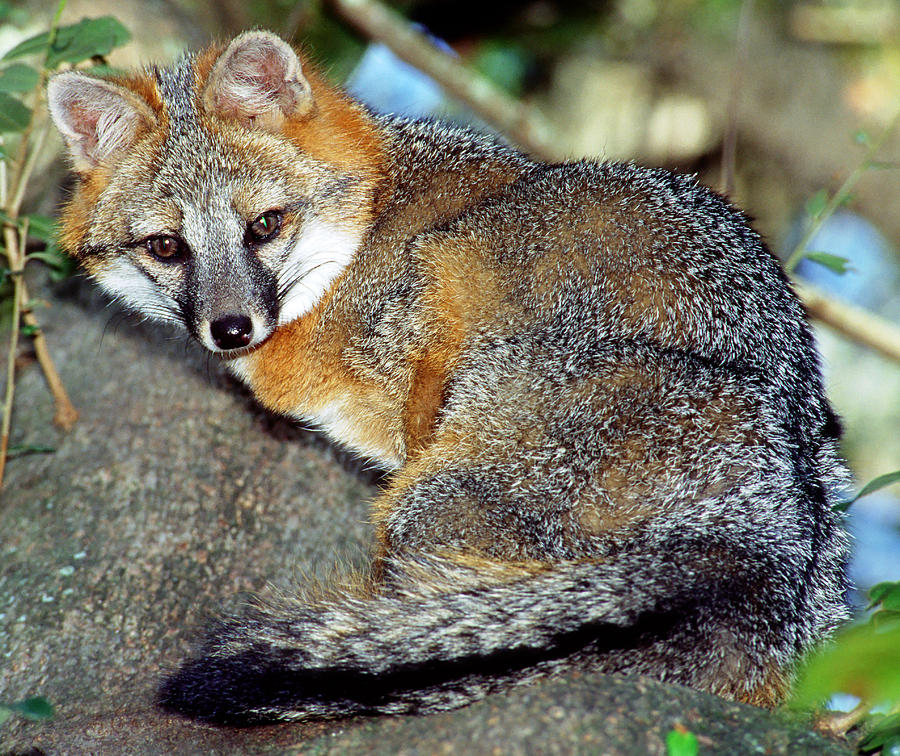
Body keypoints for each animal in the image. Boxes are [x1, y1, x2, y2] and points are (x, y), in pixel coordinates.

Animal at [46, 30, 851, 724]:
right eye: (166, 247)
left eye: (265, 225)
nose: (231, 328)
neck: (372, 228)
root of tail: (771, 543)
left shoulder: (443, 291)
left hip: (428, 500)